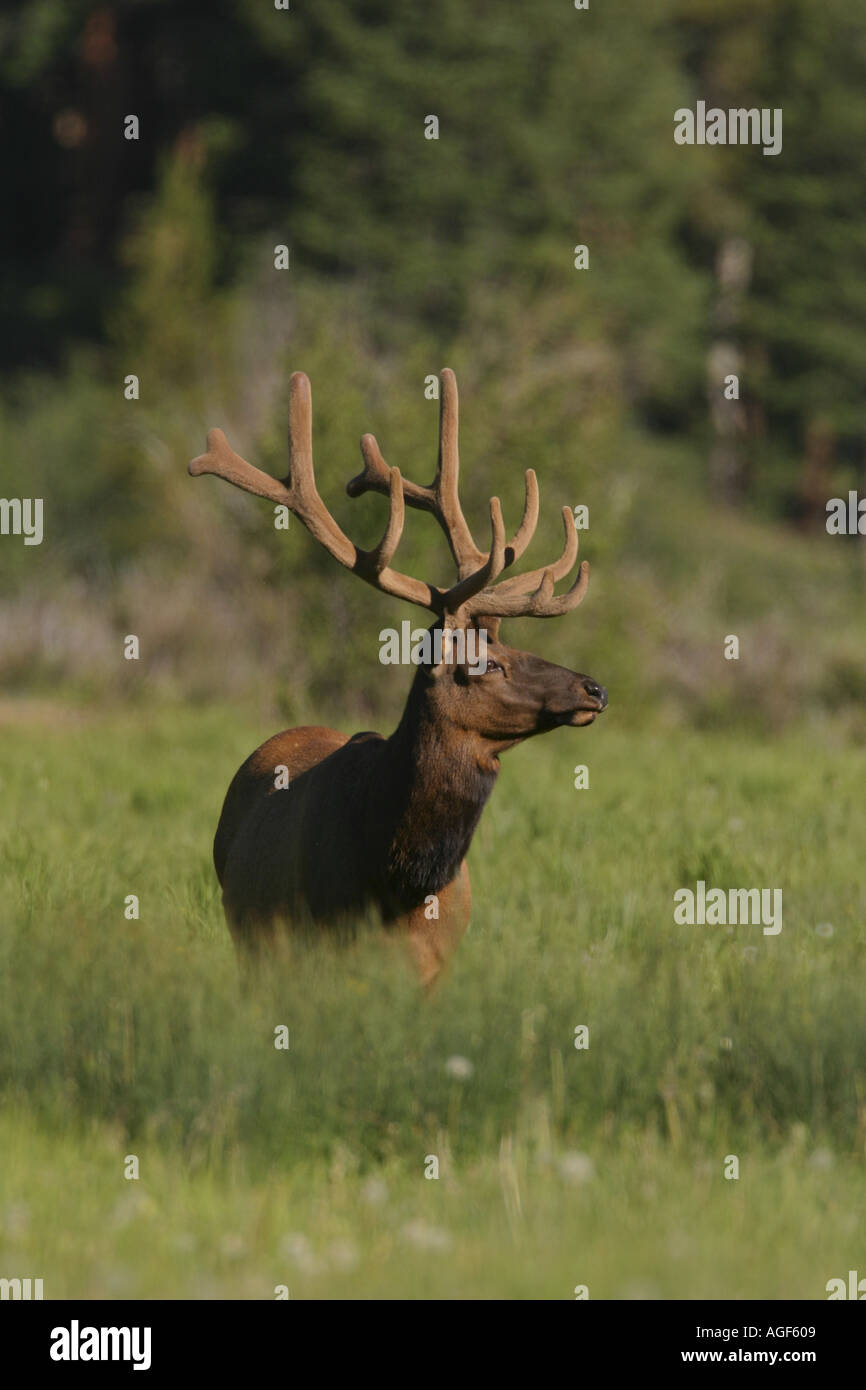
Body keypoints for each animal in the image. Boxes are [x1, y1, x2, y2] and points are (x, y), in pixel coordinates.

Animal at [189, 369, 607, 984]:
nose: (594, 688)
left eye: (514, 645)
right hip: (250, 937)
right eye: (488, 663)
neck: (398, 883)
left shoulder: (434, 967)